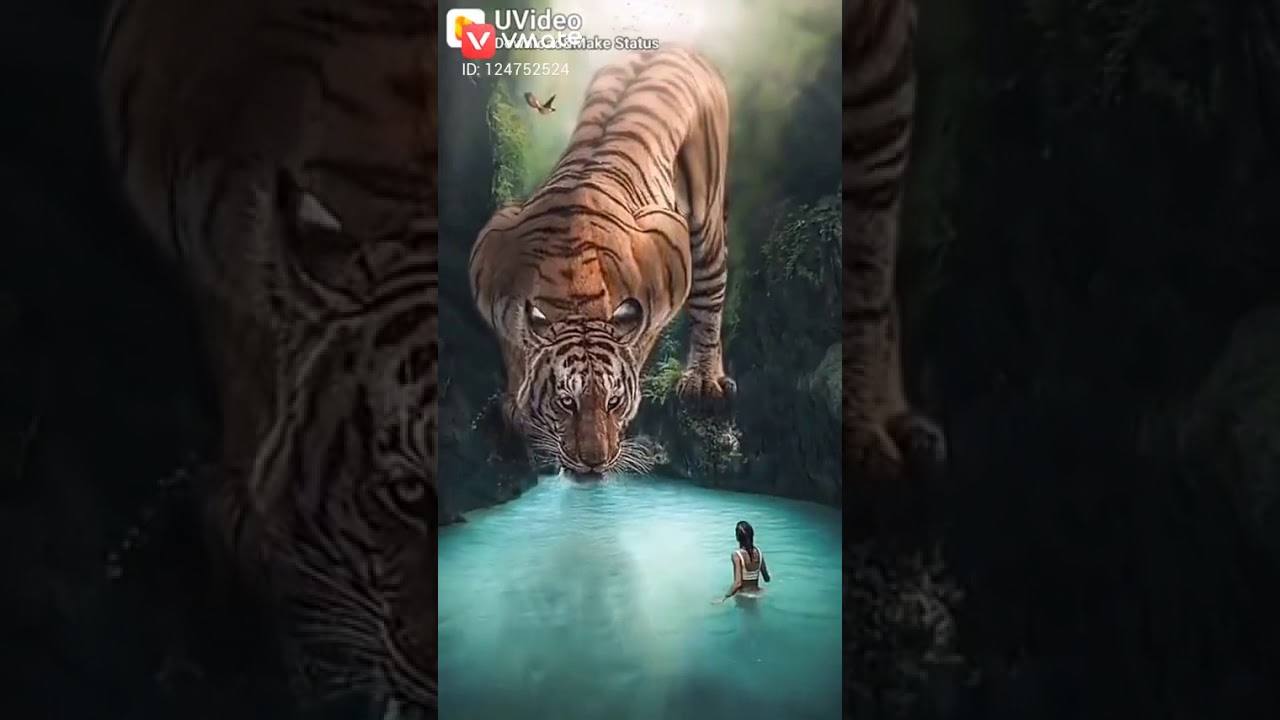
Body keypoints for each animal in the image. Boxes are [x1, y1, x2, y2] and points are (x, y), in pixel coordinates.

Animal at [469, 47, 733, 477]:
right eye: (566, 402)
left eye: (613, 401)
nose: (595, 462)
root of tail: (675, 47)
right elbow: (512, 349)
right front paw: (515, 409)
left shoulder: (668, 248)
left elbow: (642, 339)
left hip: (705, 212)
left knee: (711, 295)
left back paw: (704, 381)